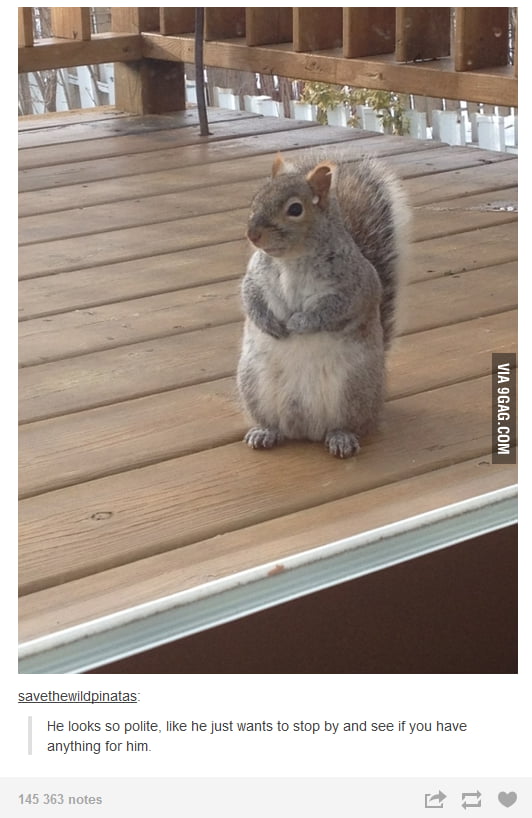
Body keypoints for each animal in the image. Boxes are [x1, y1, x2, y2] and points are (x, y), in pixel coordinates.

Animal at [236, 150, 408, 458]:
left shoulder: (352, 287)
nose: (252, 234)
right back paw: (264, 431)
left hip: (352, 389)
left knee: (348, 424)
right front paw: (270, 323)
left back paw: (341, 437)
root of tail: (305, 430)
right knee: (273, 423)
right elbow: (251, 297)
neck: (291, 260)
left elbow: (331, 310)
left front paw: (298, 322)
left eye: (295, 209)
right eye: (257, 197)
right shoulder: (254, 277)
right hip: (253, 384)